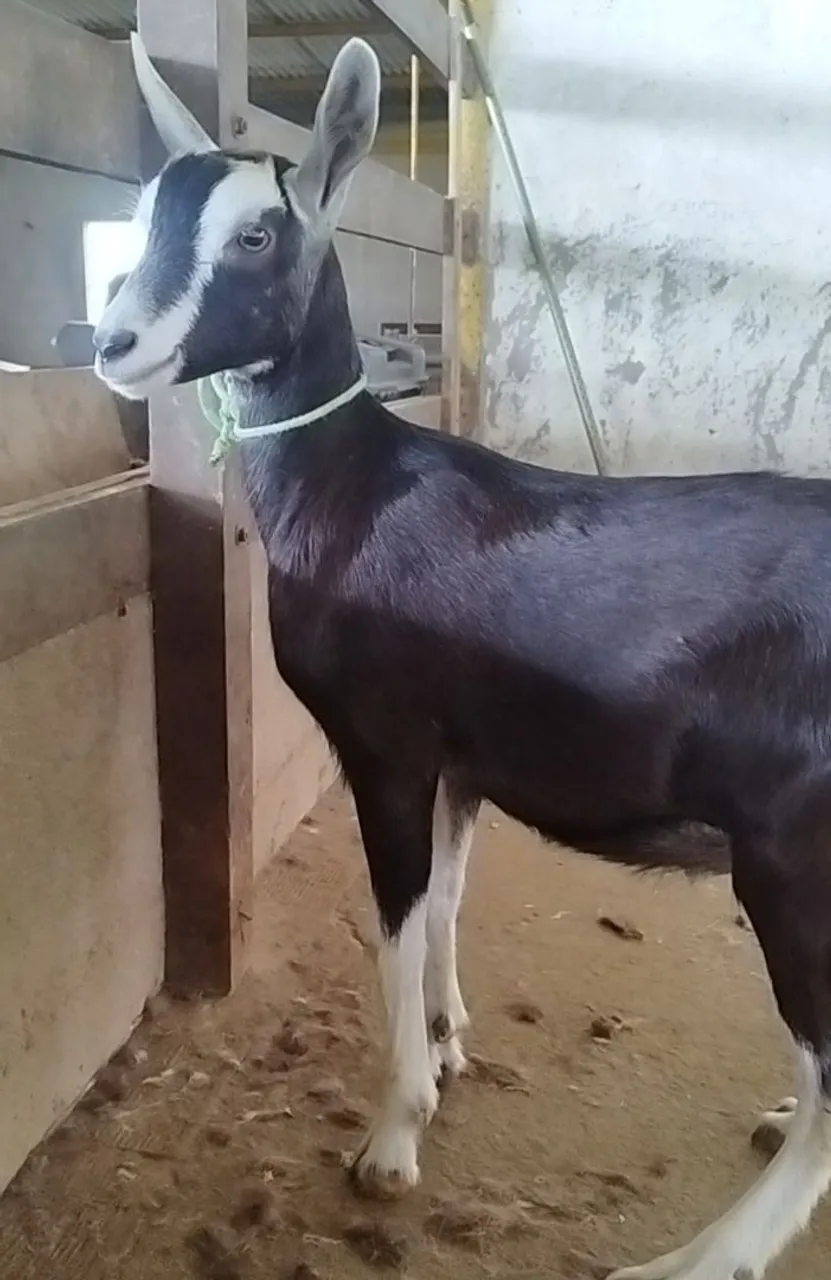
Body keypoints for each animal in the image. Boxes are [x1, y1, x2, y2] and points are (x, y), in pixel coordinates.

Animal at [94, 33, 831, 1280]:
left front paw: (394, 1134)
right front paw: (446, 1043)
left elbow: (395, 917)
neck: (357, 492)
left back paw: (697, 1256)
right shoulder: (463, 758)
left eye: (257, 235)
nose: (112, 342)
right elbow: (445, 896)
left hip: (793, 854)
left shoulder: (385, 744)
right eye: (145, 213)